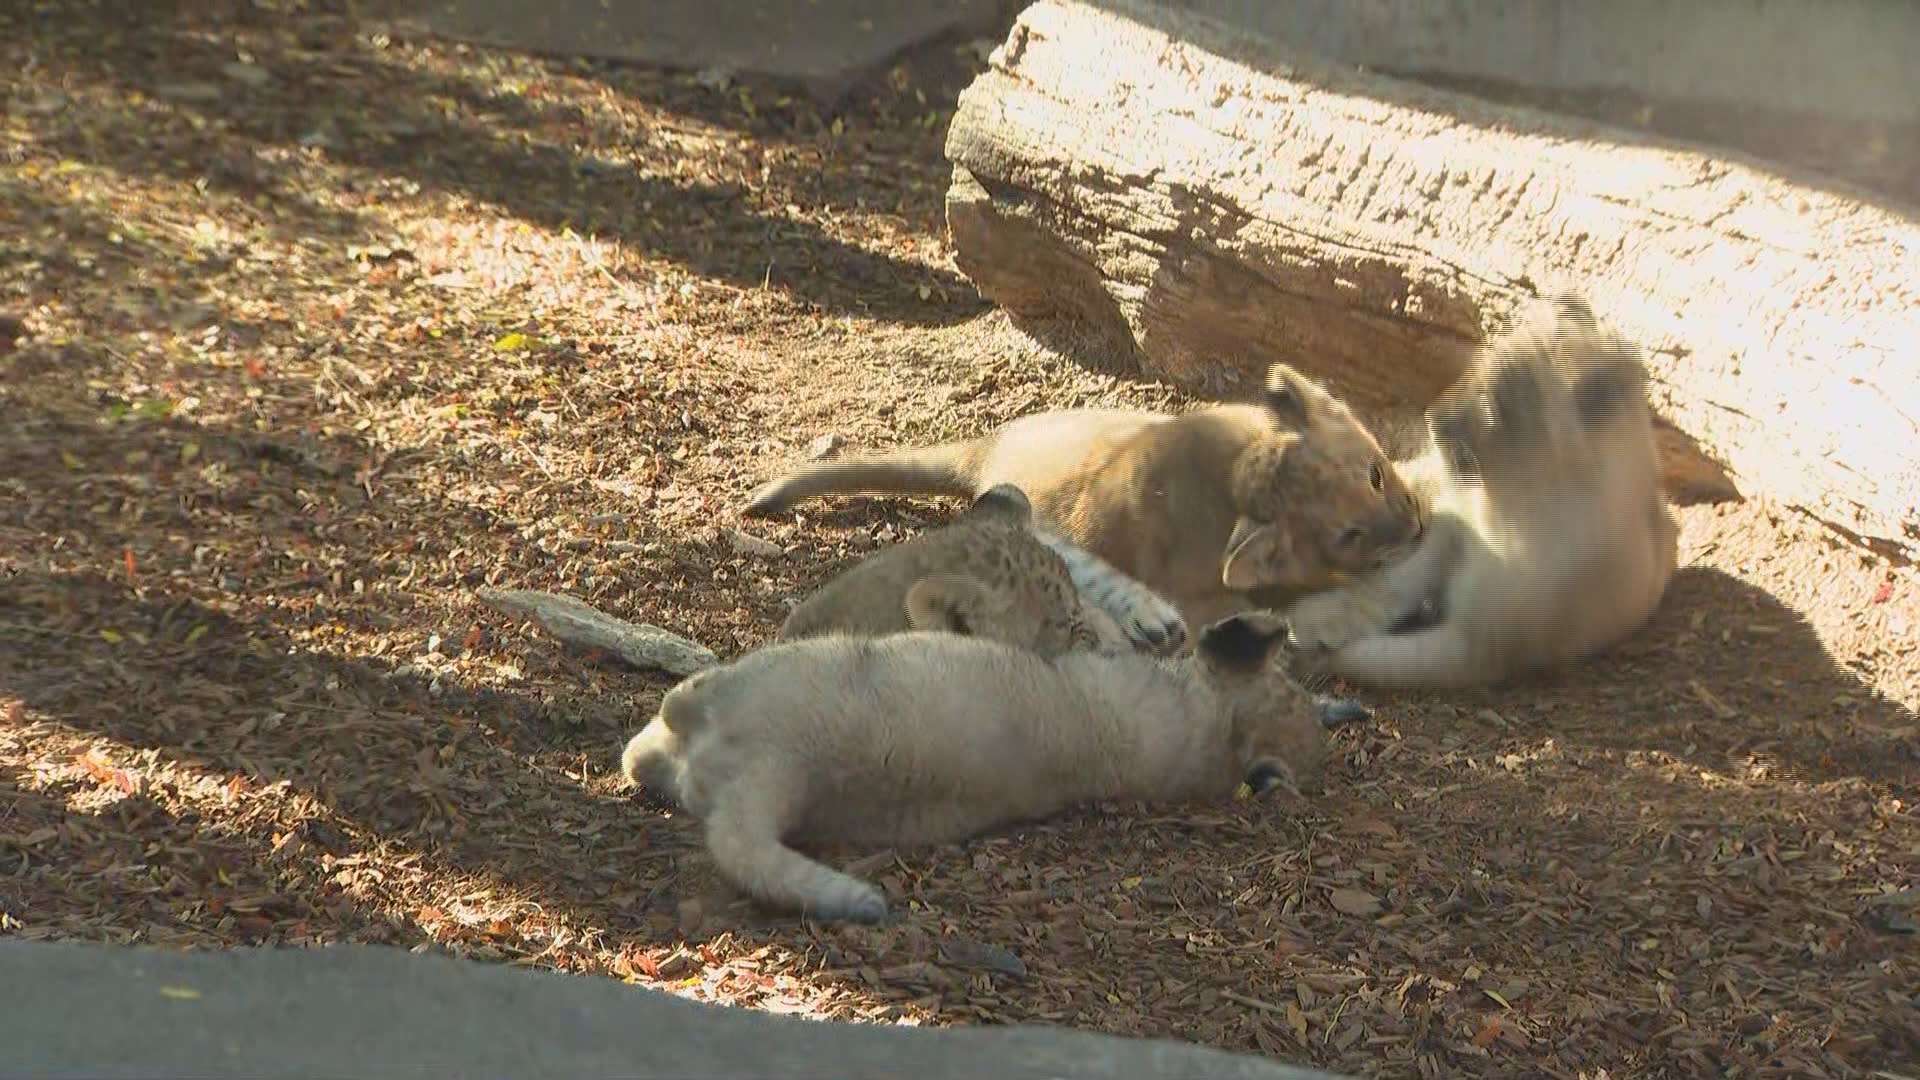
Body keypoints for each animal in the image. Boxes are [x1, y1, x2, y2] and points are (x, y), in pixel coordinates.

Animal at [1283, 294, 1681, 688]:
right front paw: (1311, 620)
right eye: (1475, 374)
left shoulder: (1470, 648)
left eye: (1492, 405)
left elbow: (1363, 656)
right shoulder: (1451, 530)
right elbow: (1394, 584)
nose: (1435, 419)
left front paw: (1303, 648)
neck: (1508, 505)